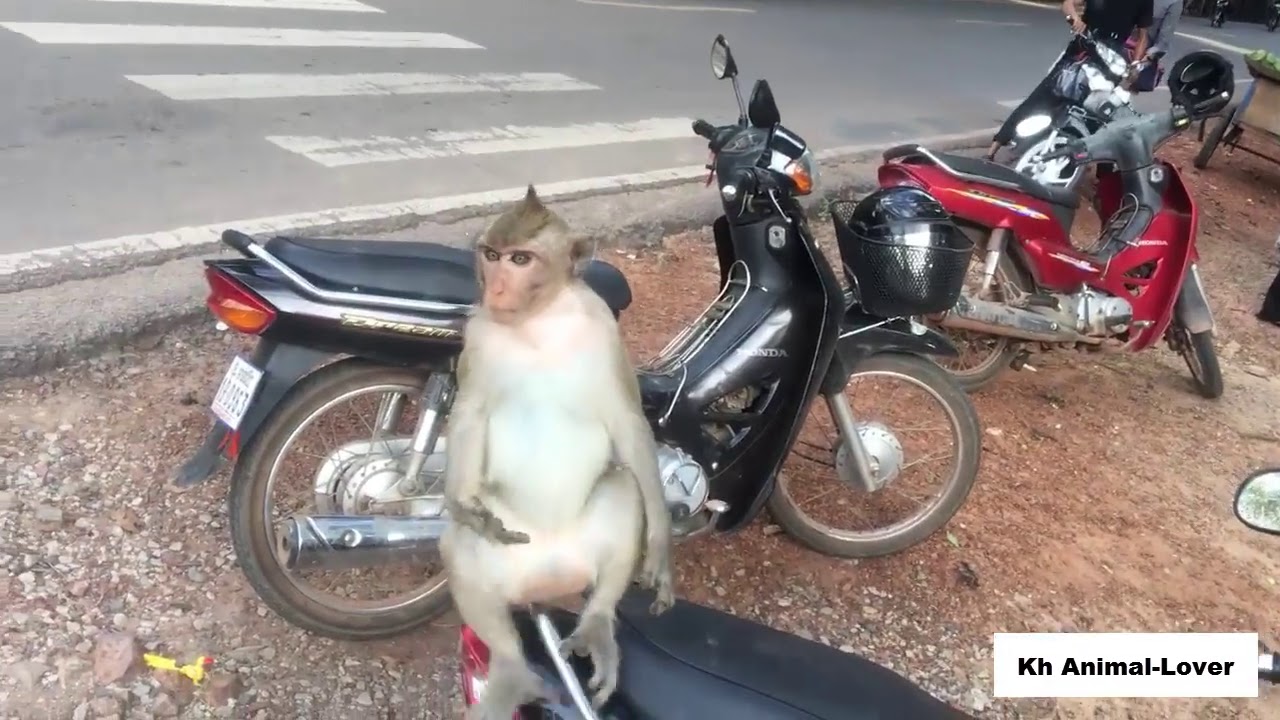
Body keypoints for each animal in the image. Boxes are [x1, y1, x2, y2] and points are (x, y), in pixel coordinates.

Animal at [440, 185, 676, 720]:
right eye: (491, 255)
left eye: (521, 259)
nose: (495, 289)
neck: (539, 322)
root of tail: (549, 578)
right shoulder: (478, 336)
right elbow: (469, 416)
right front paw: (460, 504)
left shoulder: (605, 330)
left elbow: (628, 420)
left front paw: (661, 544)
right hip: (510, 557)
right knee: (462, 543)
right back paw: (511, 671)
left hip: (585, 553)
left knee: (623, 482)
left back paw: (597, 624)